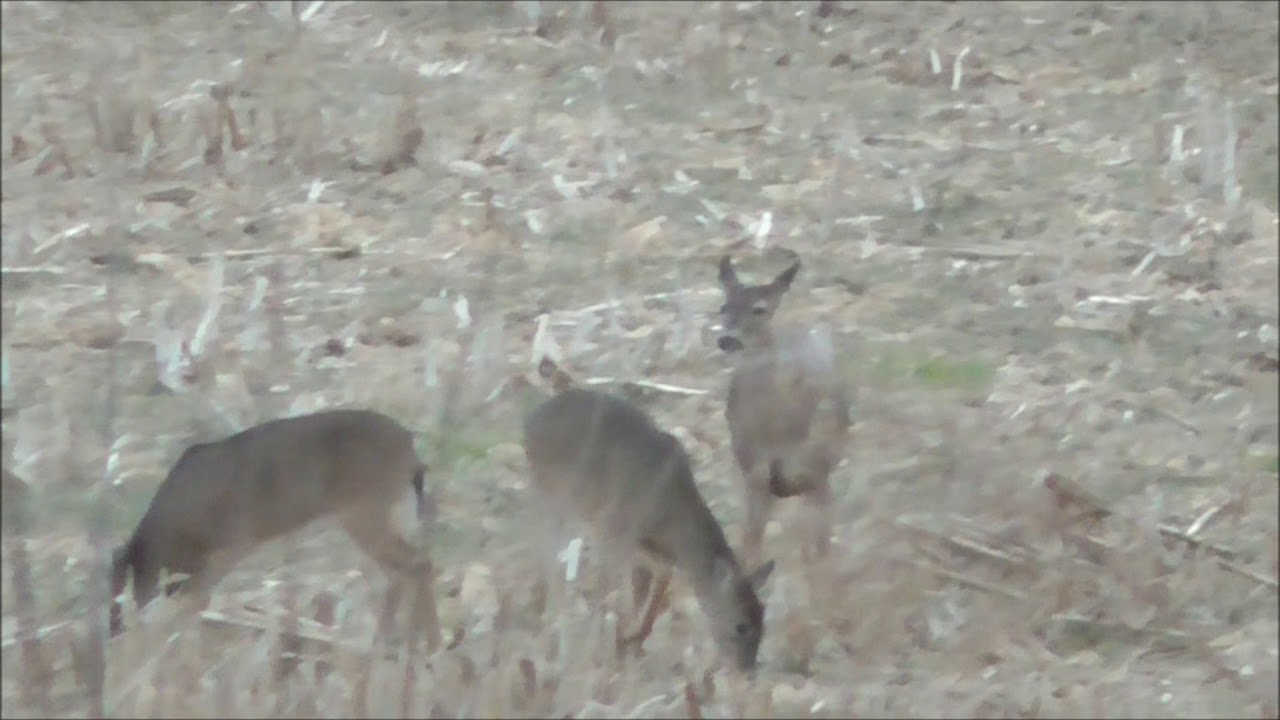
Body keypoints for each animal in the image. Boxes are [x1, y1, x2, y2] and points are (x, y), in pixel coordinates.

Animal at [109, 409, 443, 652]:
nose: (117, 632)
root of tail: (409, 448)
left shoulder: (232, 544)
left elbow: (195, 603)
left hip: (365, 512)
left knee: (416, 564)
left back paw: (426, 645)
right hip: (386, 513)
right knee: (405, 569)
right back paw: (396, 643)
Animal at [523, 381, 774, 672]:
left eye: (763, 619)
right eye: (740, 626)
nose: (747, 670)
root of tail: (530, 424)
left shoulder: (642, 542)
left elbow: (656, 577)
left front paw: (633, 639)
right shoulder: (613, 530)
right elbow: (605, 591)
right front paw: (602, 651)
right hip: (551, 499)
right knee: (550, 562)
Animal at [715, 254, 851, 567]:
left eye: (760, 309)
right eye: (723, 307)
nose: (728, 339)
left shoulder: (811, 457)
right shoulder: (746, 453)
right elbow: (754, 528)